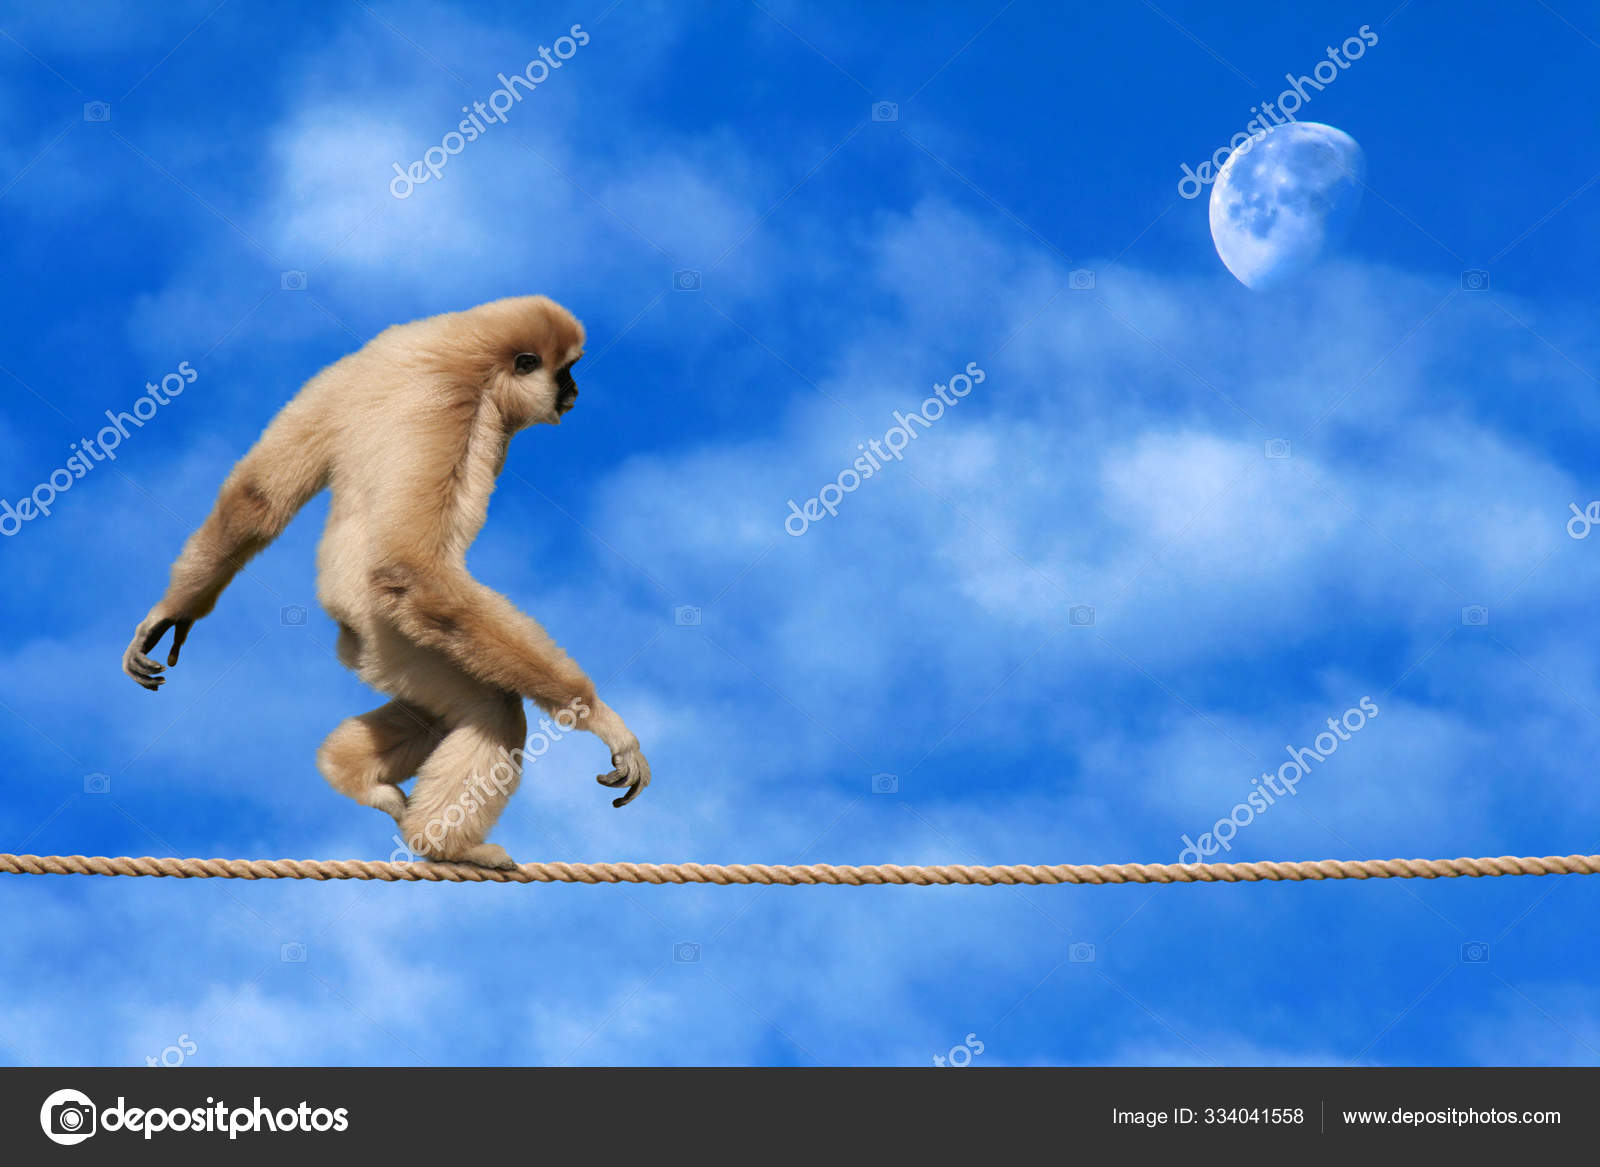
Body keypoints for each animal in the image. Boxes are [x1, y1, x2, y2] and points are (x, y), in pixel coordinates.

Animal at [121, 295, 650, 869]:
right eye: (566, 369)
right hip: (396, 638)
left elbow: (257, 496)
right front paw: (601, 718)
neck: (463, 351)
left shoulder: (345, 371)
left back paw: (350, 774)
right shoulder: (452, 403)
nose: (574, 391)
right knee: (494, 704)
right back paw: (444, 845)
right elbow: (409, 571)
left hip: (384, 653)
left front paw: (171, 612)